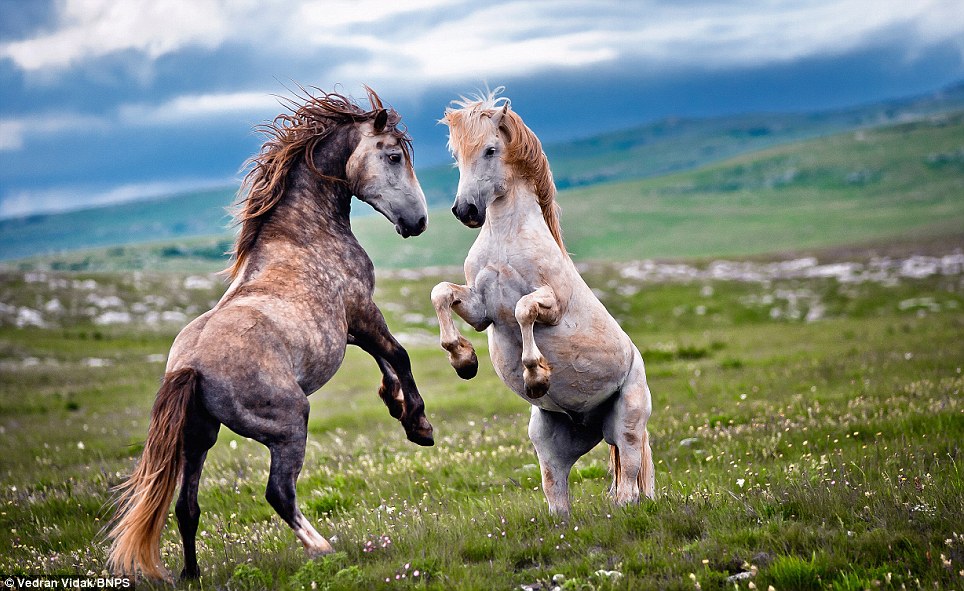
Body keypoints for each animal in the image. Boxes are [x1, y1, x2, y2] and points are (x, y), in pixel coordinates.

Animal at [106, 87, 435, 581]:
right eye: (394, 155)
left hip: (198, 440)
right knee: (279, 493)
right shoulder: (361, 311)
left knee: (187, 507)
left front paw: (394, 403)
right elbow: (398, 355)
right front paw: (418, 423)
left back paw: (191, 574)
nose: (418, 222)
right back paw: (324, 549)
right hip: (288, 424)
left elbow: (386, 361)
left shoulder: (349, 328)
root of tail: (191, 367)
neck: (303, 234)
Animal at [431, 88, 655, 517]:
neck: (505, 239)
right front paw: (463, 360)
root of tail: (588, 422)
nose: (465, 211)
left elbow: (524, 311)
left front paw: (536, 375)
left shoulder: (551, 304)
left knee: (630, 482)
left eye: (489, 150)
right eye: (456, 156)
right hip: (549, 441)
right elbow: (441, 294)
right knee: (558, 494)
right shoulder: (480, 311)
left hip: (628, 425)